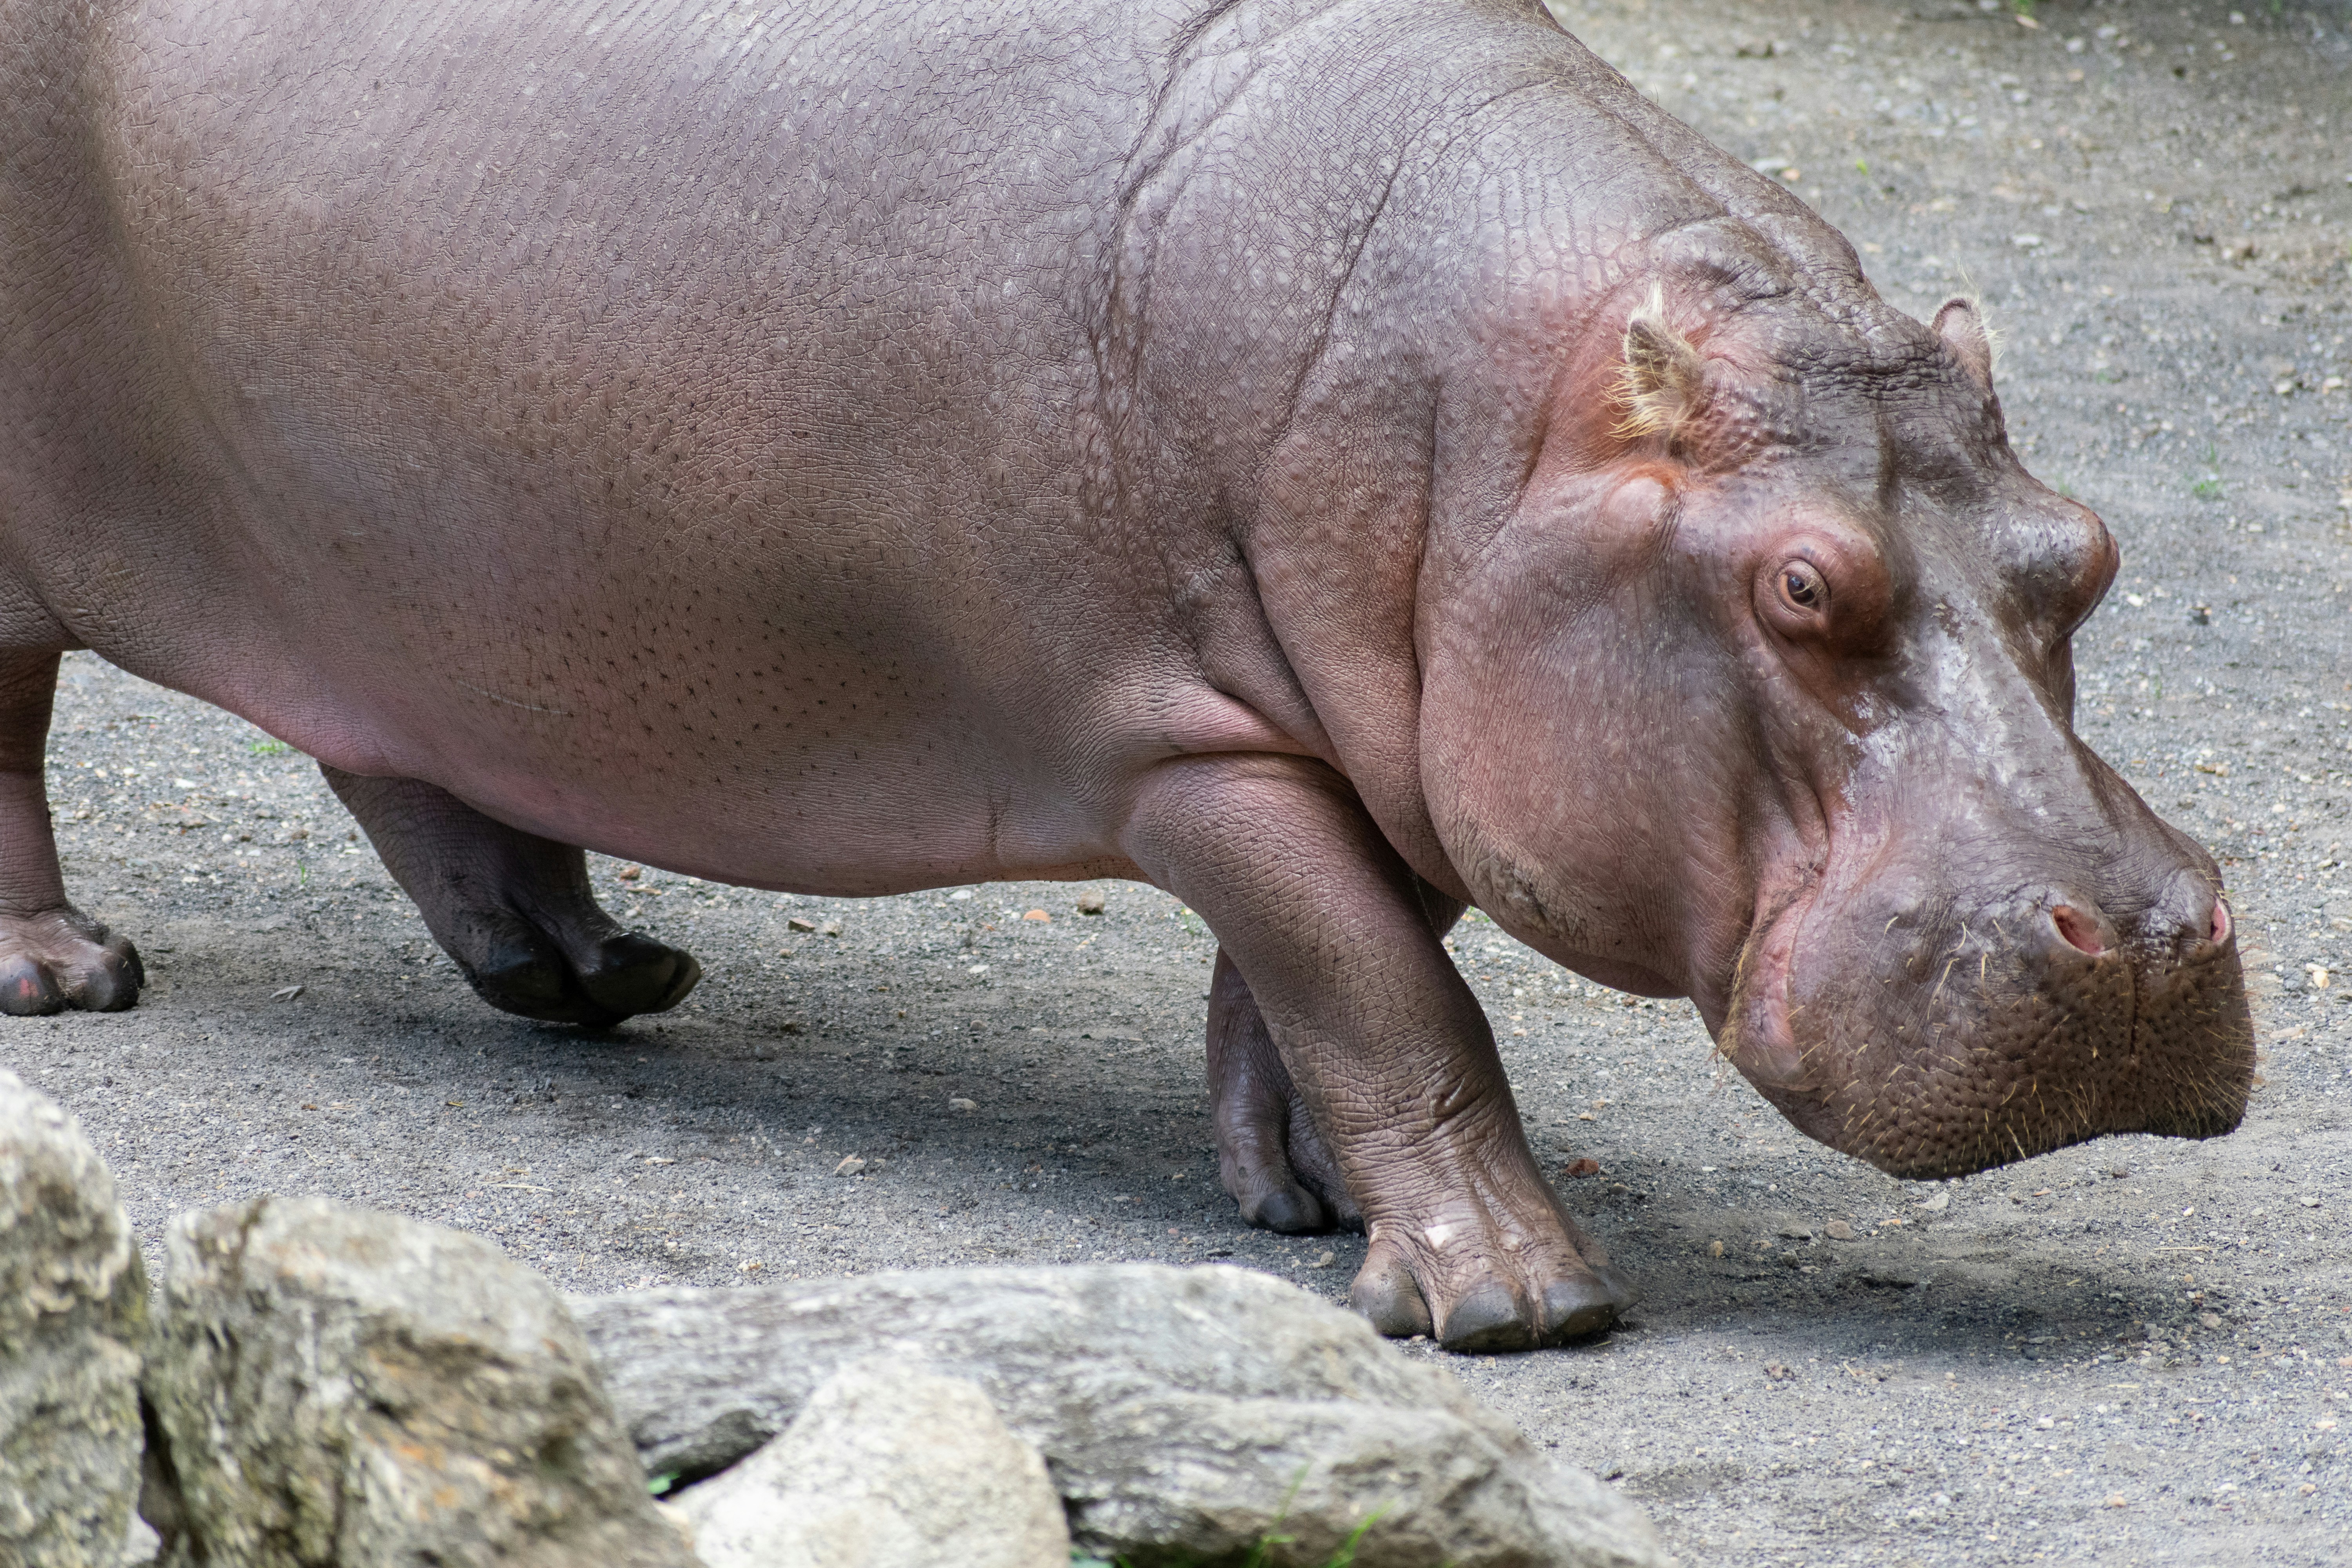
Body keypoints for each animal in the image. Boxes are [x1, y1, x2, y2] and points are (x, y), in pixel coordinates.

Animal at [0, 0, 2251, 1350]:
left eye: (2084, 550)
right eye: (1800, 586)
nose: (2147, 935)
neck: (1499, 425)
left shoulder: (1383, 717)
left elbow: (1331, 970)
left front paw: (1302, 1197)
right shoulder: (1199, 748)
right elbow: (1385, 984)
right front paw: (1514, 1304)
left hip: (424, 565)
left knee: (412, 754)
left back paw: (600, 974)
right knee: (16, 738)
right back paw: (66, 975)